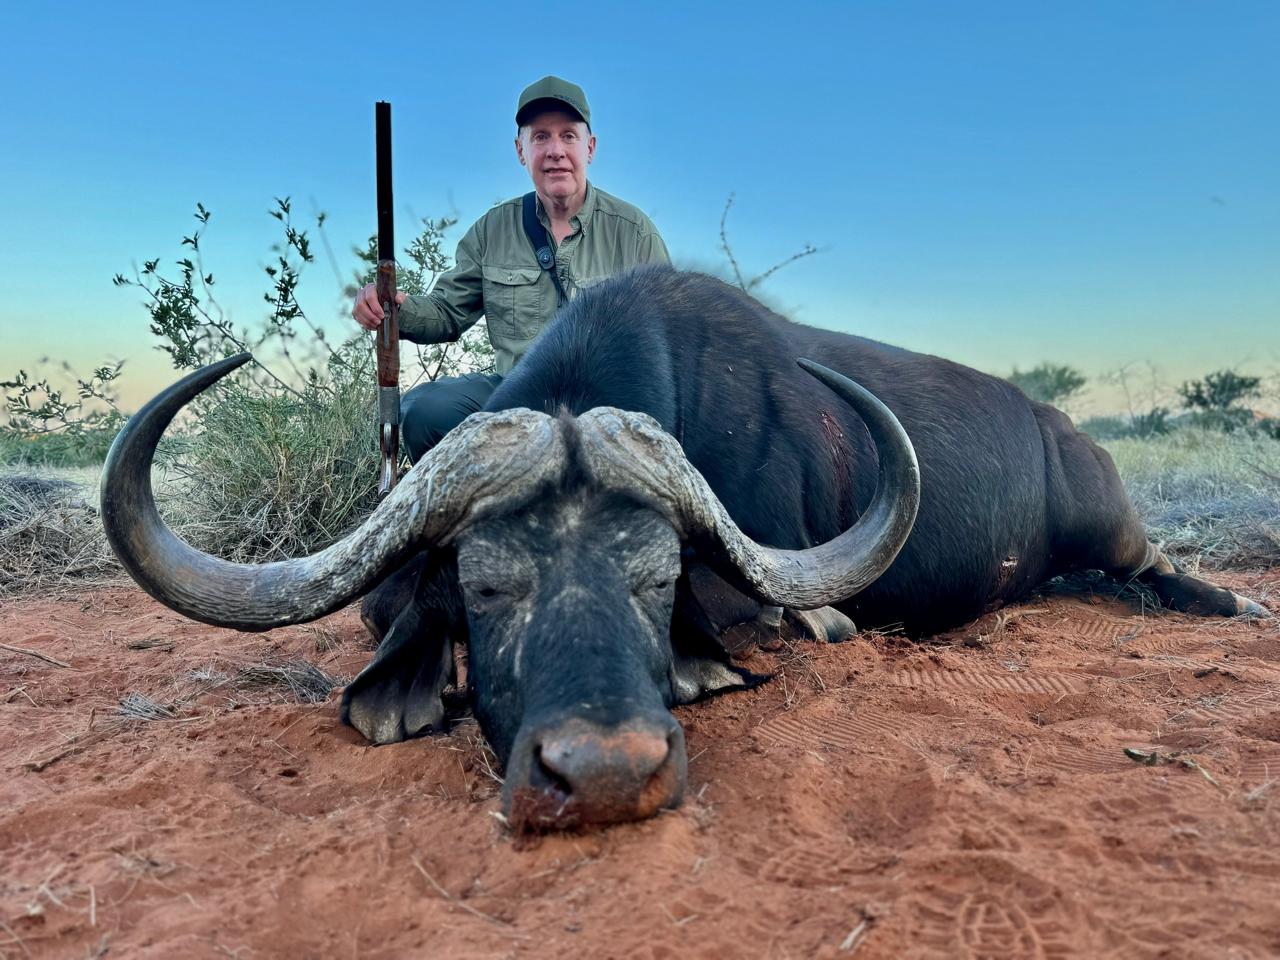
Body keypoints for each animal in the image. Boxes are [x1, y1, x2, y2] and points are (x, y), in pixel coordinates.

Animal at [101, 265, 1266, 831]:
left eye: (657, 583)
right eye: (485, 585)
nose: (605, 774)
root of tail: (1057, 429)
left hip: (1113, 525)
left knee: (1150, 567)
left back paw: (1234, 603)